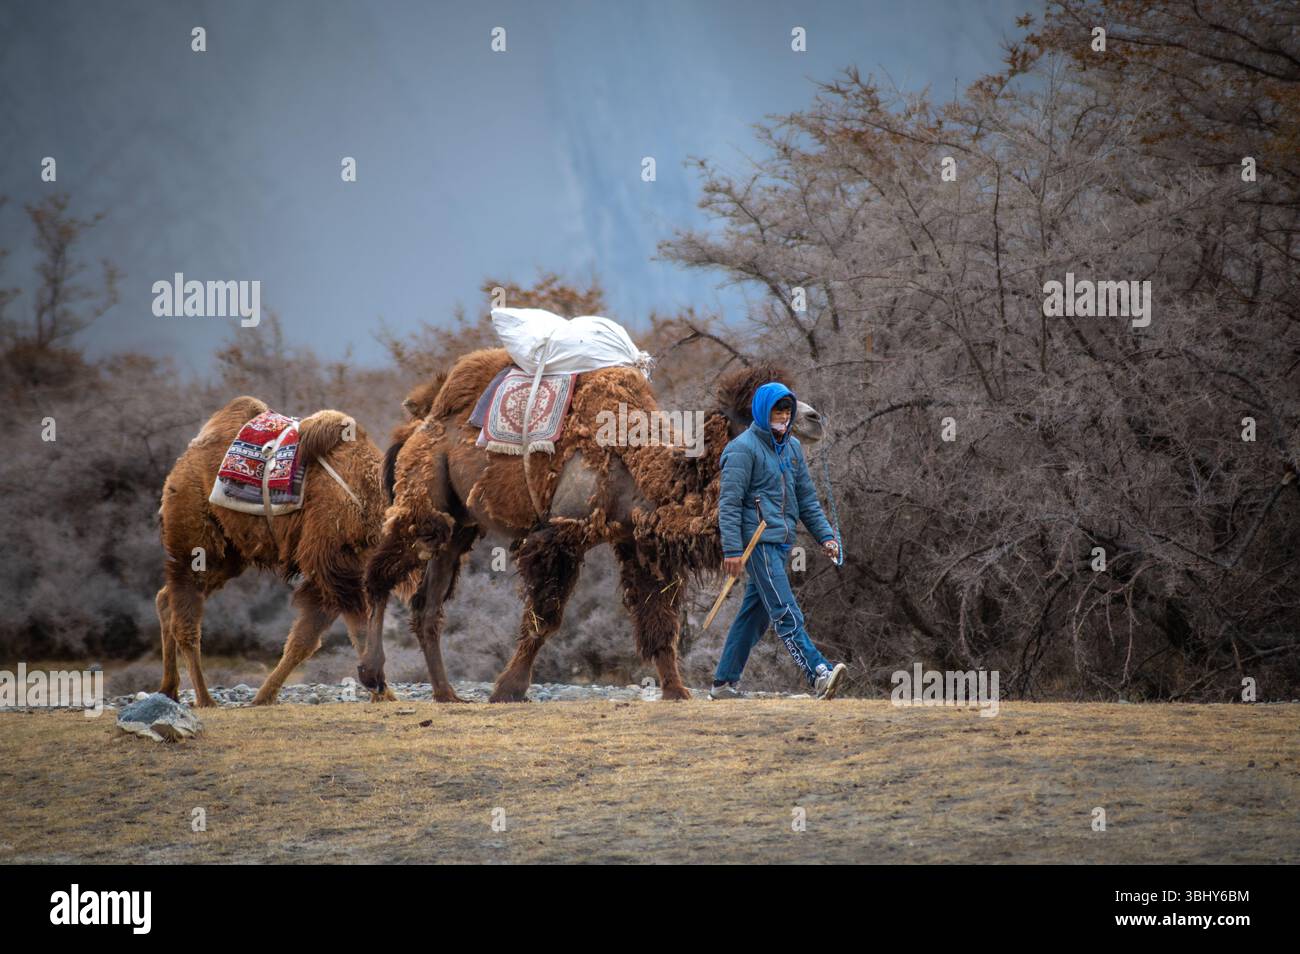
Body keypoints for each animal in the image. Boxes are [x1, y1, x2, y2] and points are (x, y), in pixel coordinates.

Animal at [156, 395, 398, 706]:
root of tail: (183, 459)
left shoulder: (346, 568)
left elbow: (304, 640)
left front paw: (263, 696)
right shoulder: (331, 560)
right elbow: (357, 631)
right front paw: (384, 693)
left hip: (229, 554)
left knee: (167, 598)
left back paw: (169, 689)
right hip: (193, 527)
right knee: (185, 615)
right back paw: (204, 698)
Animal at [358, 348, 824, 703]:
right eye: (765, 404)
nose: (814, 417)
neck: (642, 464)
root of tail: (416, 427)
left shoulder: (639, 542)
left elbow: (660, 622)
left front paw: (676, 690)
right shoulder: (560, 535)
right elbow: (545, 618)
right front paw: (508, 689)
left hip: (459, 525)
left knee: (427, 605)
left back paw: (446, 694)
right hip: (425, 499)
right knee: (379, 575)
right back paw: (375, 678)